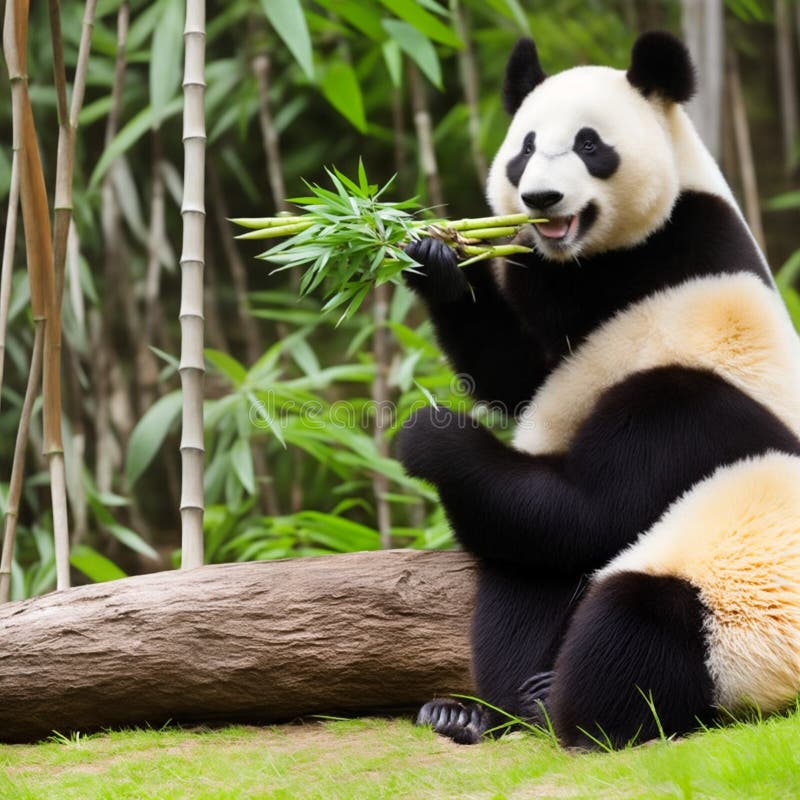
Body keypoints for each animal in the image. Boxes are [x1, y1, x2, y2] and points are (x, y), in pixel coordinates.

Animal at [398, 31, 800, 749]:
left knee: (638, 617)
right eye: (526, 147)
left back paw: (550, 704)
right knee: (524, 575)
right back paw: (475, 710)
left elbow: (591, 511)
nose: (541, 199)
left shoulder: (690, 367)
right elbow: (515, 377)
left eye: (591, 145)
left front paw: (431, 436)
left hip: (740, 580)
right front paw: (436, 257)